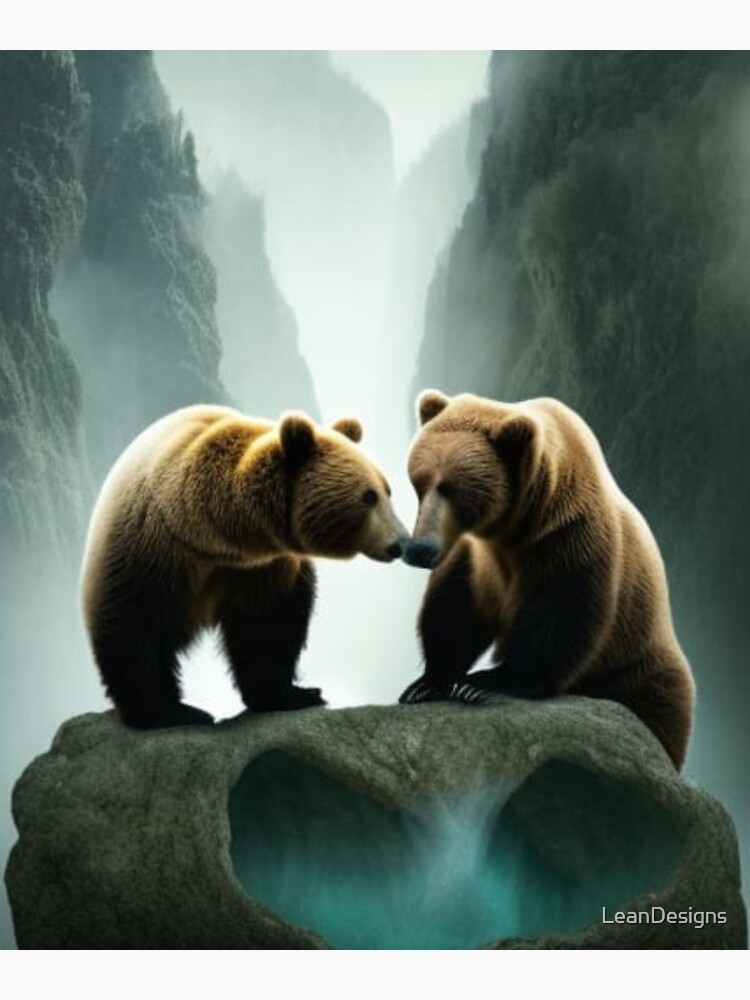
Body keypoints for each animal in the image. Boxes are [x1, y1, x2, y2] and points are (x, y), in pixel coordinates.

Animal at [81, 404, 409, 729]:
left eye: (387, 491)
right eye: (369, 496)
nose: (401, 543)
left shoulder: (265, 567)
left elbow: (268, 626)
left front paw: (290, 694)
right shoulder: (153, 543)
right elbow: (133, 620)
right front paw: (169, 712)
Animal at [399, 390, 696, 769]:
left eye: (453, 489)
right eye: (419, 482)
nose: (419, 549)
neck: (515, 528)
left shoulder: (570, 537)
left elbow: (559, 614)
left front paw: (484, 683)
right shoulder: (476, 556)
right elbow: (455, 608)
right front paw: (426, 683)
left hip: (639, 672)